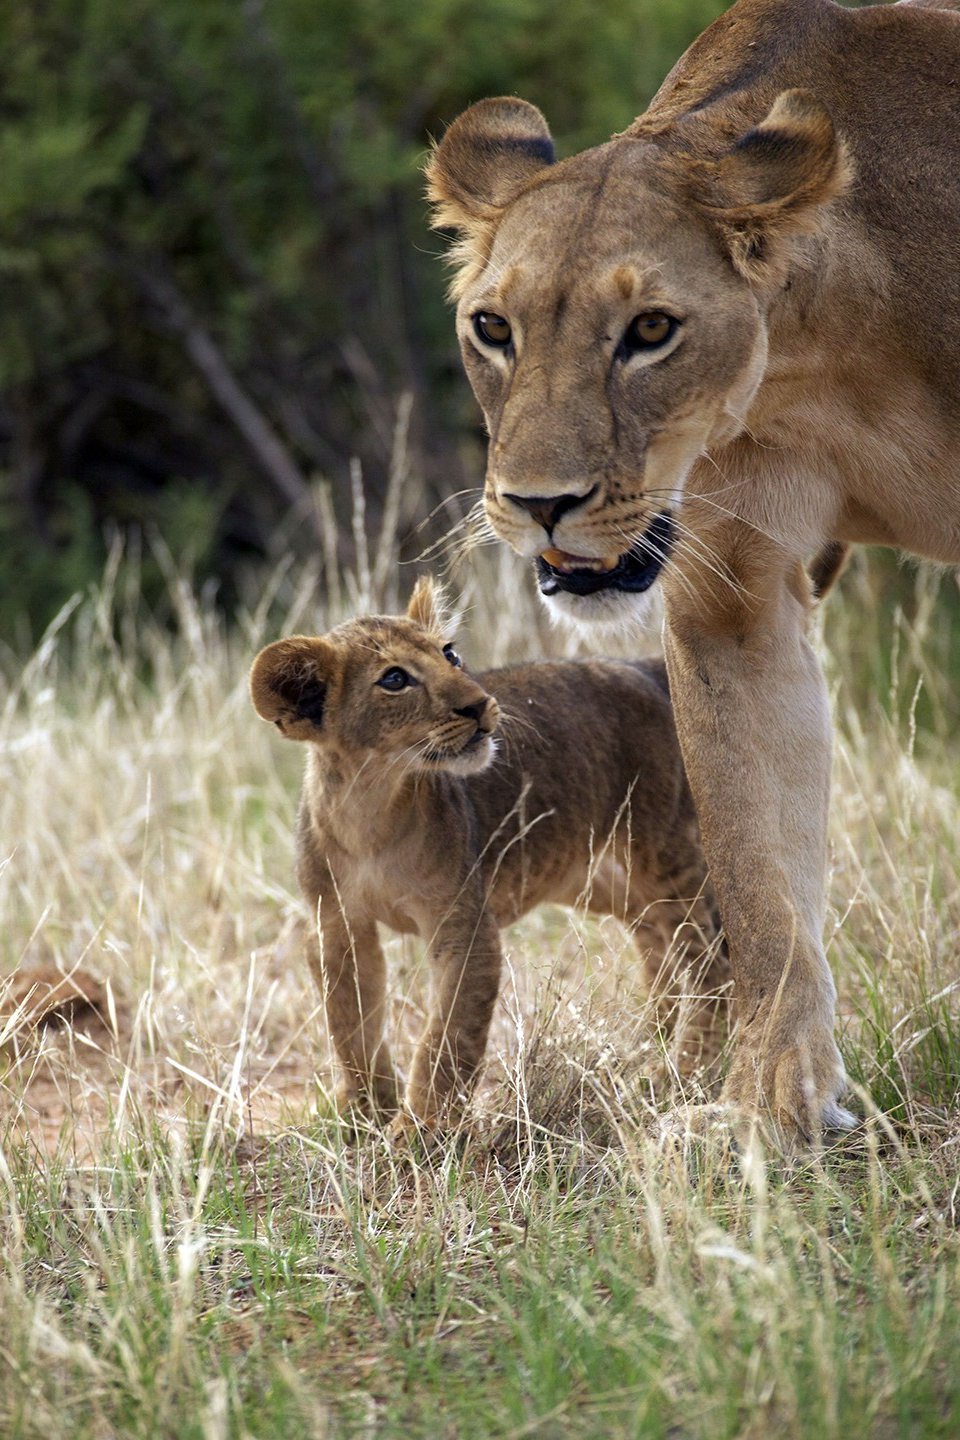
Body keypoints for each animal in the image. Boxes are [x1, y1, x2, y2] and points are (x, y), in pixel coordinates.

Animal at [250, 578, 727, 1127]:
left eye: (450, 654)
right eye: (394, 679)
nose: (479, 704)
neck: (370, 806)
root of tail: (646, 667)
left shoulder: (465, 927)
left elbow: (447, 1038)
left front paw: (417, 1131)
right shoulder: (335, 927)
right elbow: (350, 1024)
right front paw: (364, 1112)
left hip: (667, 856)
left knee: (712, 961)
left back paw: (688, 1074)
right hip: (609, 883)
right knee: (660, 953)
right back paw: (643, 1051)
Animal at [426, 0, 960, 1142]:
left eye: (651, 330)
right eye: (493, 328)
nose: (539, 503)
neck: (821, 352)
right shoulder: (736, 596)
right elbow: (760, 869)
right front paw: (774, 1113)